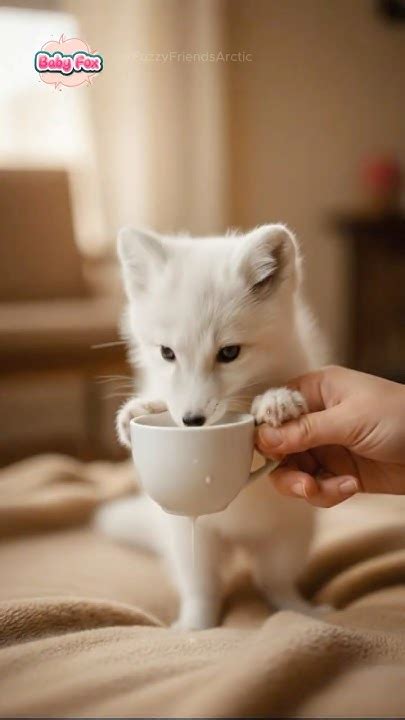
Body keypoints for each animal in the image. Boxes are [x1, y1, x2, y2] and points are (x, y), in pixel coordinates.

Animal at [96, 223, 325, 630]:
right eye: (167, 353)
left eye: (229, 353)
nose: (192, 422)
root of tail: (241, 540)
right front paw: (135, 412)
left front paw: (275, 401)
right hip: (192, 540)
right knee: (203, 590)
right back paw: (194, 628)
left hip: (290, 537)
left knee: (275, 584)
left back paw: (300, 611)